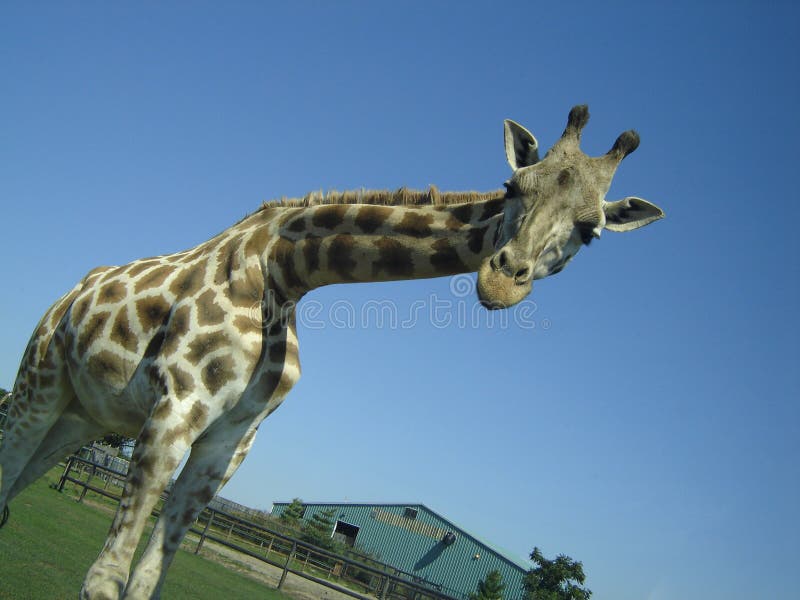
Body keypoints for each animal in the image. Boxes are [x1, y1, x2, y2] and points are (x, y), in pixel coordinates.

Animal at [0, 106, 663, 599]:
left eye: (590, 230)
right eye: (511, 186)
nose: (502, 281)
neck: (285, 273)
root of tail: (68, 295)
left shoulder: (228, 443)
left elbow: (145, 584)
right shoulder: (177, 408)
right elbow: (103, 583)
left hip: (81, 417)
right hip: (38, 384)